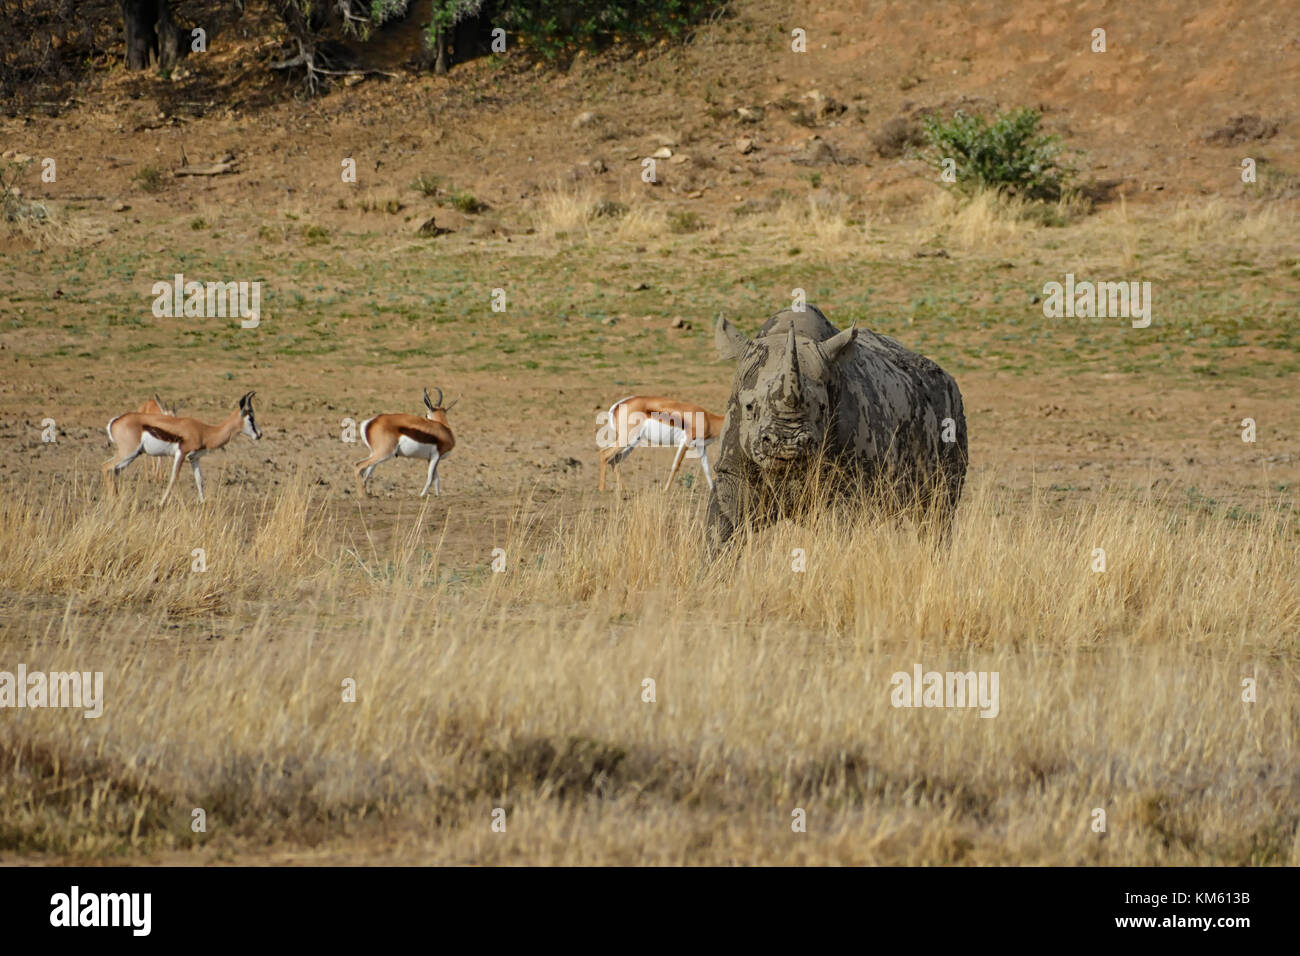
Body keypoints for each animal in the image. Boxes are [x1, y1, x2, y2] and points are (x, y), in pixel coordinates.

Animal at [705, 305, 968, 556]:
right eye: (749, 407)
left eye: (823, 408)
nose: (787, 444)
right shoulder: (734, 471)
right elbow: (722, 530)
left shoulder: (850, 484)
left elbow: (838, 534)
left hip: (951, 412)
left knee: (936, 515)